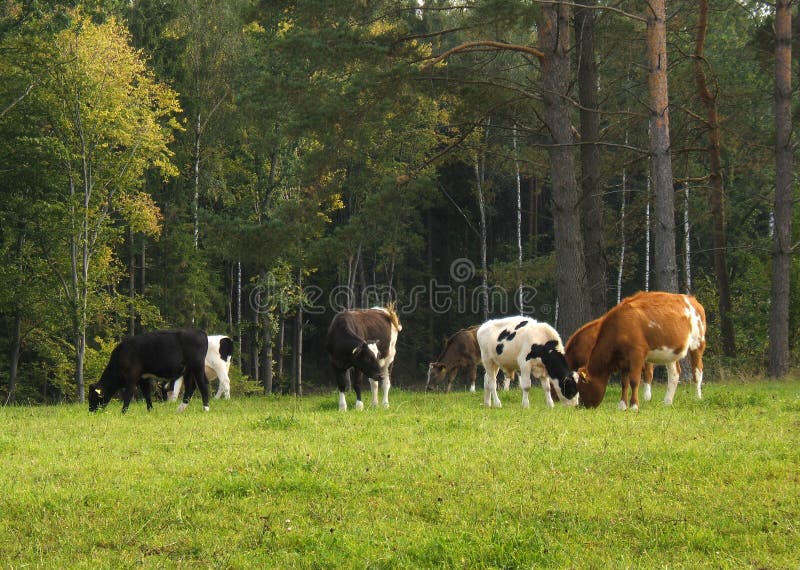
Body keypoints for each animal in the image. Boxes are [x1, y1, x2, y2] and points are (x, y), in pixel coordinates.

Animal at [576, 291, 706, 410]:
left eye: (582, 387)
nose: (581, 406)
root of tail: (692, 300)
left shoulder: (637, 354)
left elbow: (634, 381)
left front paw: (634, 406)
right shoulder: (624, 359)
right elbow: (624, 383)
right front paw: (622, 406)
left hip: (697, 343)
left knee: (697, 372)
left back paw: (697, 398)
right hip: (671, 352)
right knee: (674, 374)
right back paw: (667, 402)